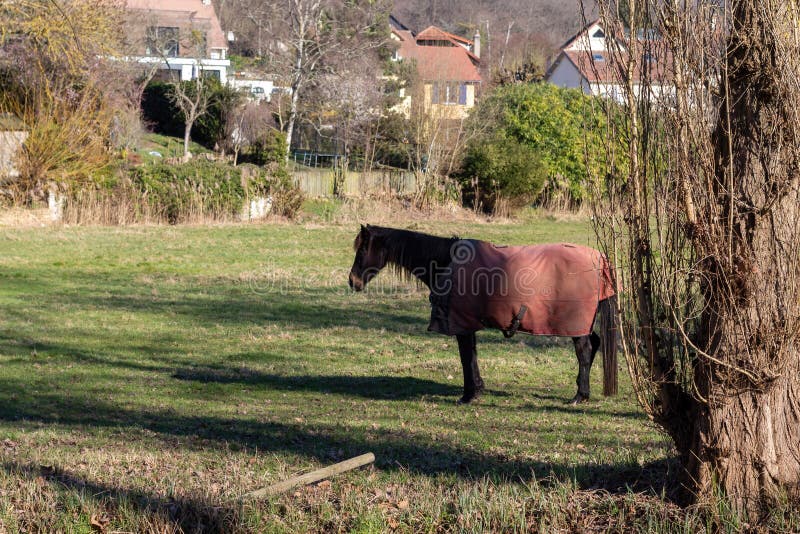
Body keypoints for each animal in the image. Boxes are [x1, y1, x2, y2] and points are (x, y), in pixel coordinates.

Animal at [347, 224, 618, 405]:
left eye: (361, 251)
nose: (353, 282)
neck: (446, 263)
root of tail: (600, 259)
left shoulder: (461, 325)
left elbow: (466, 358)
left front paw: (468, 395)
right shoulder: (468, 324)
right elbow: (472, 356)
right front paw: (476, 390)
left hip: (576, 325)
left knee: (584, 351)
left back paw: (579, 396)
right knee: (594, 345)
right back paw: (582, 390)